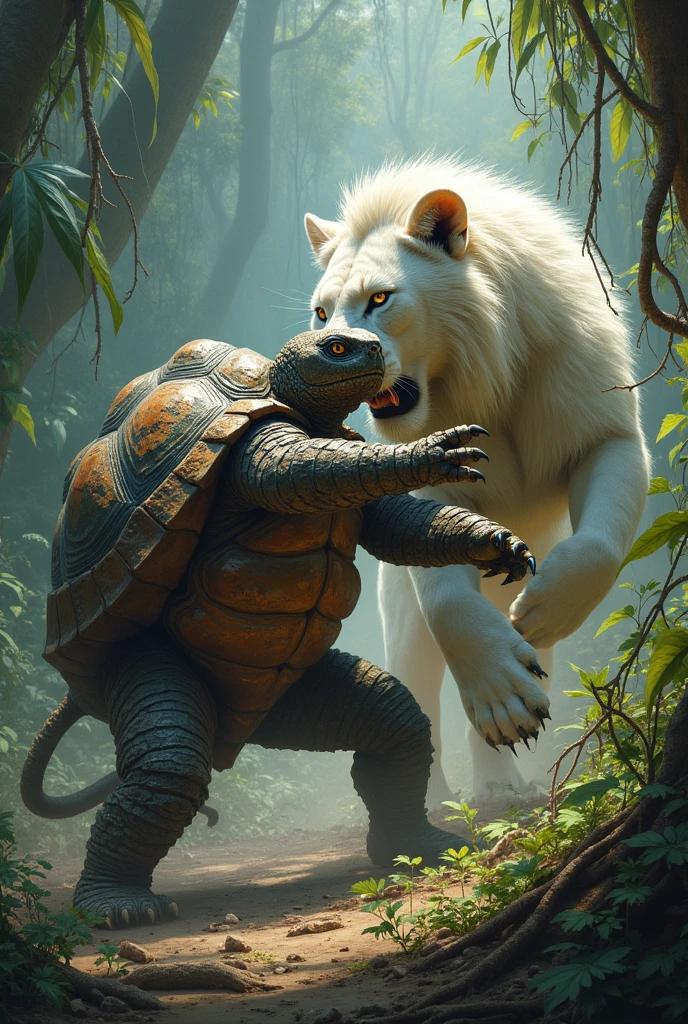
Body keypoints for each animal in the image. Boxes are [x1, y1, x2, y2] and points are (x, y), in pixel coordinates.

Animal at [304, 156, 649, 806]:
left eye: (379, 299)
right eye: (322, 311)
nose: (326, 348)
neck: (481, 372)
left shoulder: (603, 432)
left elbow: (598, 545)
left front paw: (546, 605)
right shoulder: (427, 480)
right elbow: (447, 601)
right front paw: (499, 693)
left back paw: (502, 786)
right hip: (399, 610)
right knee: (418, 682)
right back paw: (438, 794)